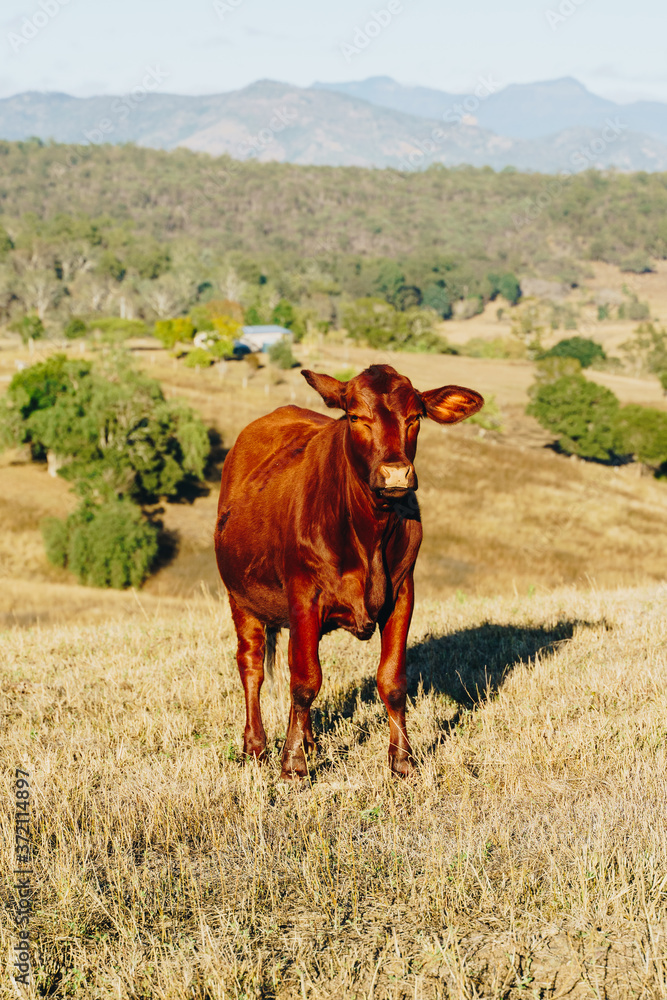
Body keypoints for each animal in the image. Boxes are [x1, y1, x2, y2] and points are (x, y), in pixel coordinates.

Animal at [214, 364, 483, 779]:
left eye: (415, 417)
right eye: (356, 417)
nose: (396, 474)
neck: (370, 531)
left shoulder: (403, 593)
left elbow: (392, 680)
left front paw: (402, 760)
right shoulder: (304, 594)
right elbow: (305, 681)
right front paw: (292, 765)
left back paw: (308, 741)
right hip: (240, 598)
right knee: (252, 666)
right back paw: (256, 746)